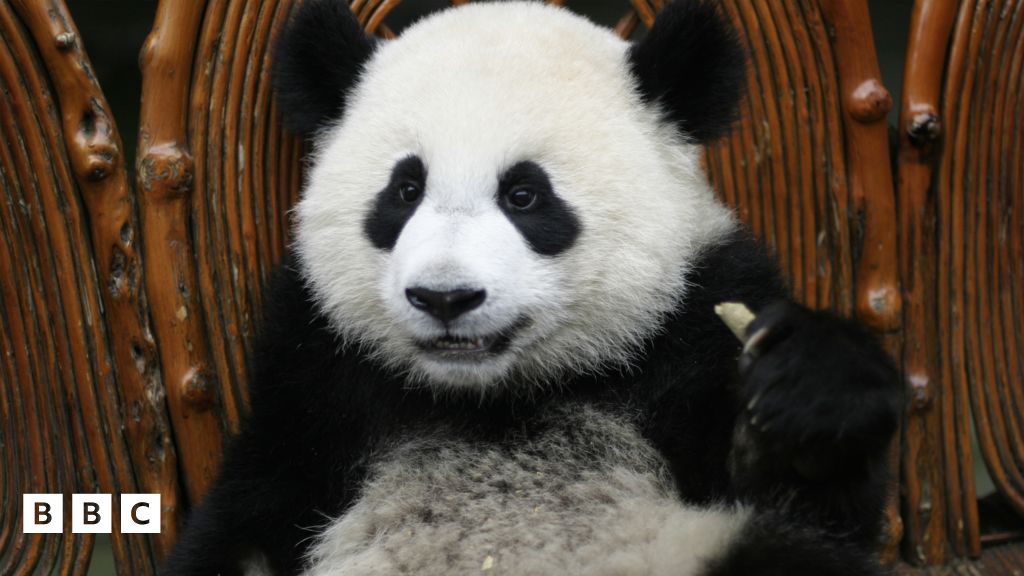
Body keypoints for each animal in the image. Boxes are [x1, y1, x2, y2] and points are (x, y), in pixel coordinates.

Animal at [162, 1, 902, 575]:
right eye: (404, 191)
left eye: (524, 195)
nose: (446, 298)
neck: (495, 398)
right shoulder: (317, 376)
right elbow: (250, 518)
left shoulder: (692, 323)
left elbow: (814, 502)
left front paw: (806, 388)